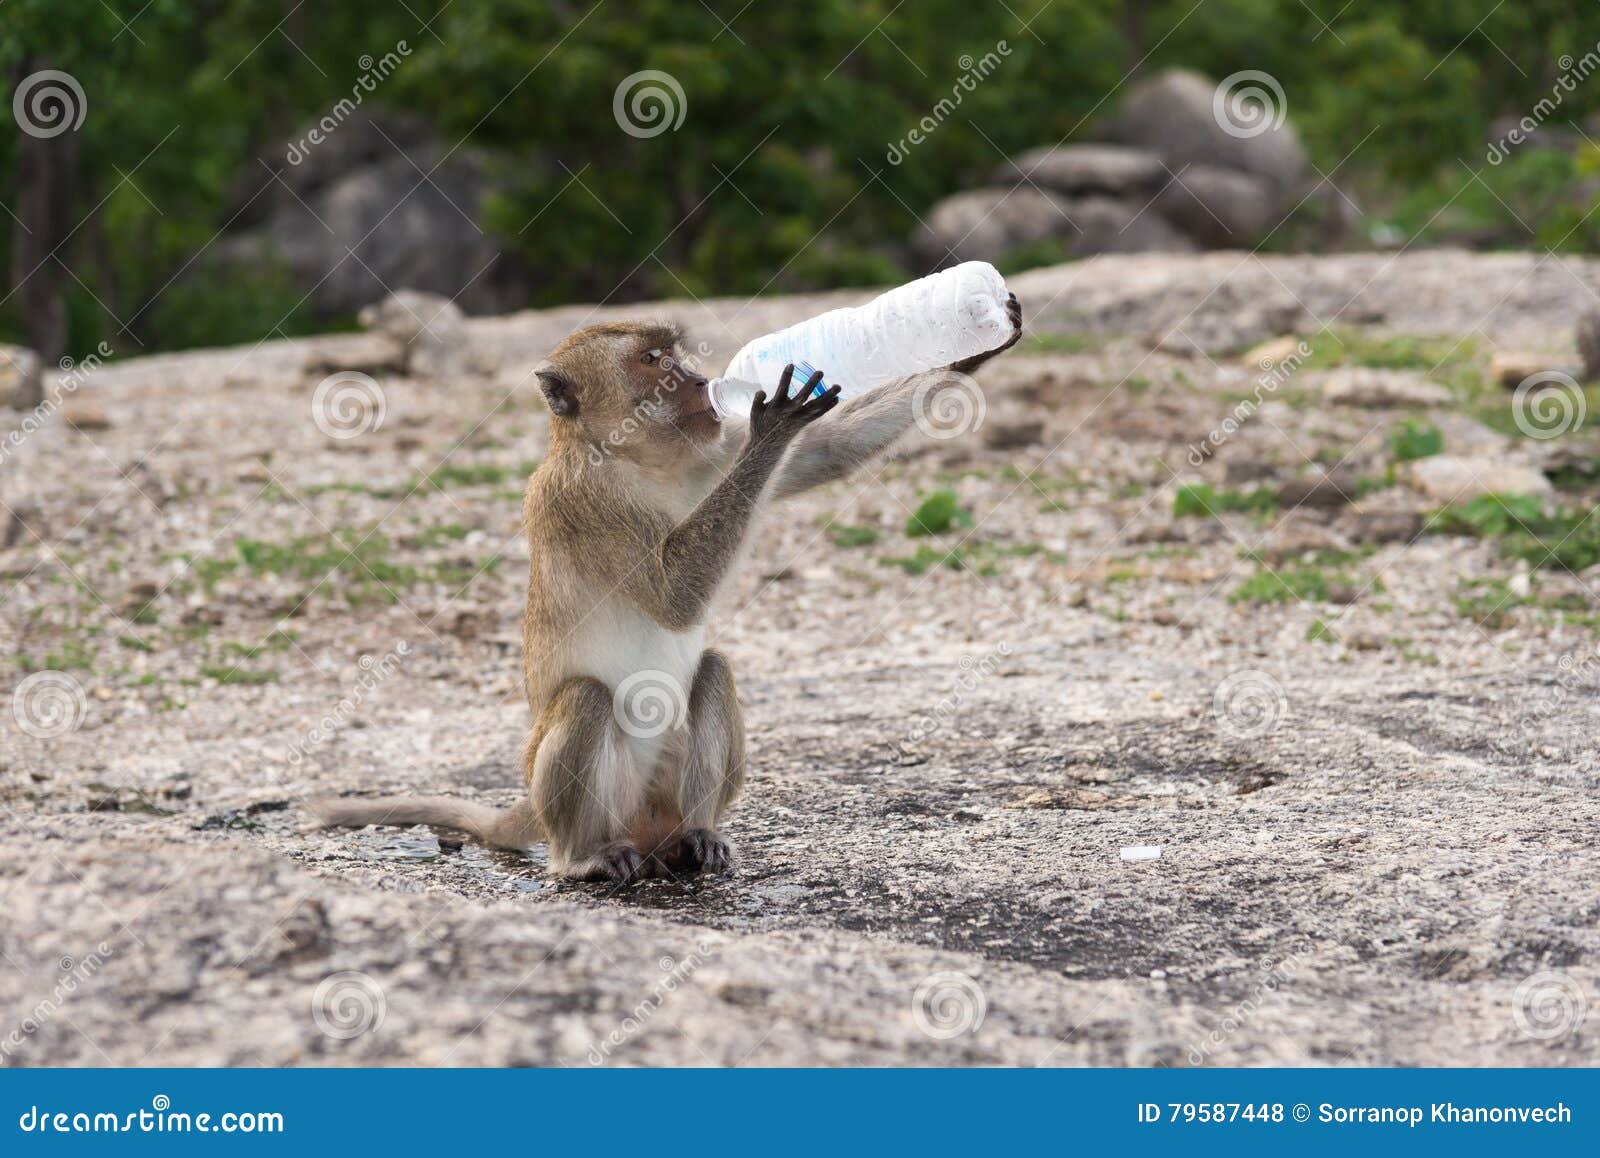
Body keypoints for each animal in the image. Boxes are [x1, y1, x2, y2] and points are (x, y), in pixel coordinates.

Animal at [314, 294, 1022, 883]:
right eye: (653, 361)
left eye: (673, 353)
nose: (702, 381)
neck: (635, 458)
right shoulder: (583, 497)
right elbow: (674, 593)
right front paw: (776, 424)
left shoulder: (710, 449)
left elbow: (829, 452)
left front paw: (972, 344)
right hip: (588, 800)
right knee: (586, 701)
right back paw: (583, 858)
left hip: (665, 796)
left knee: (711, 671)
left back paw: (697, 837)